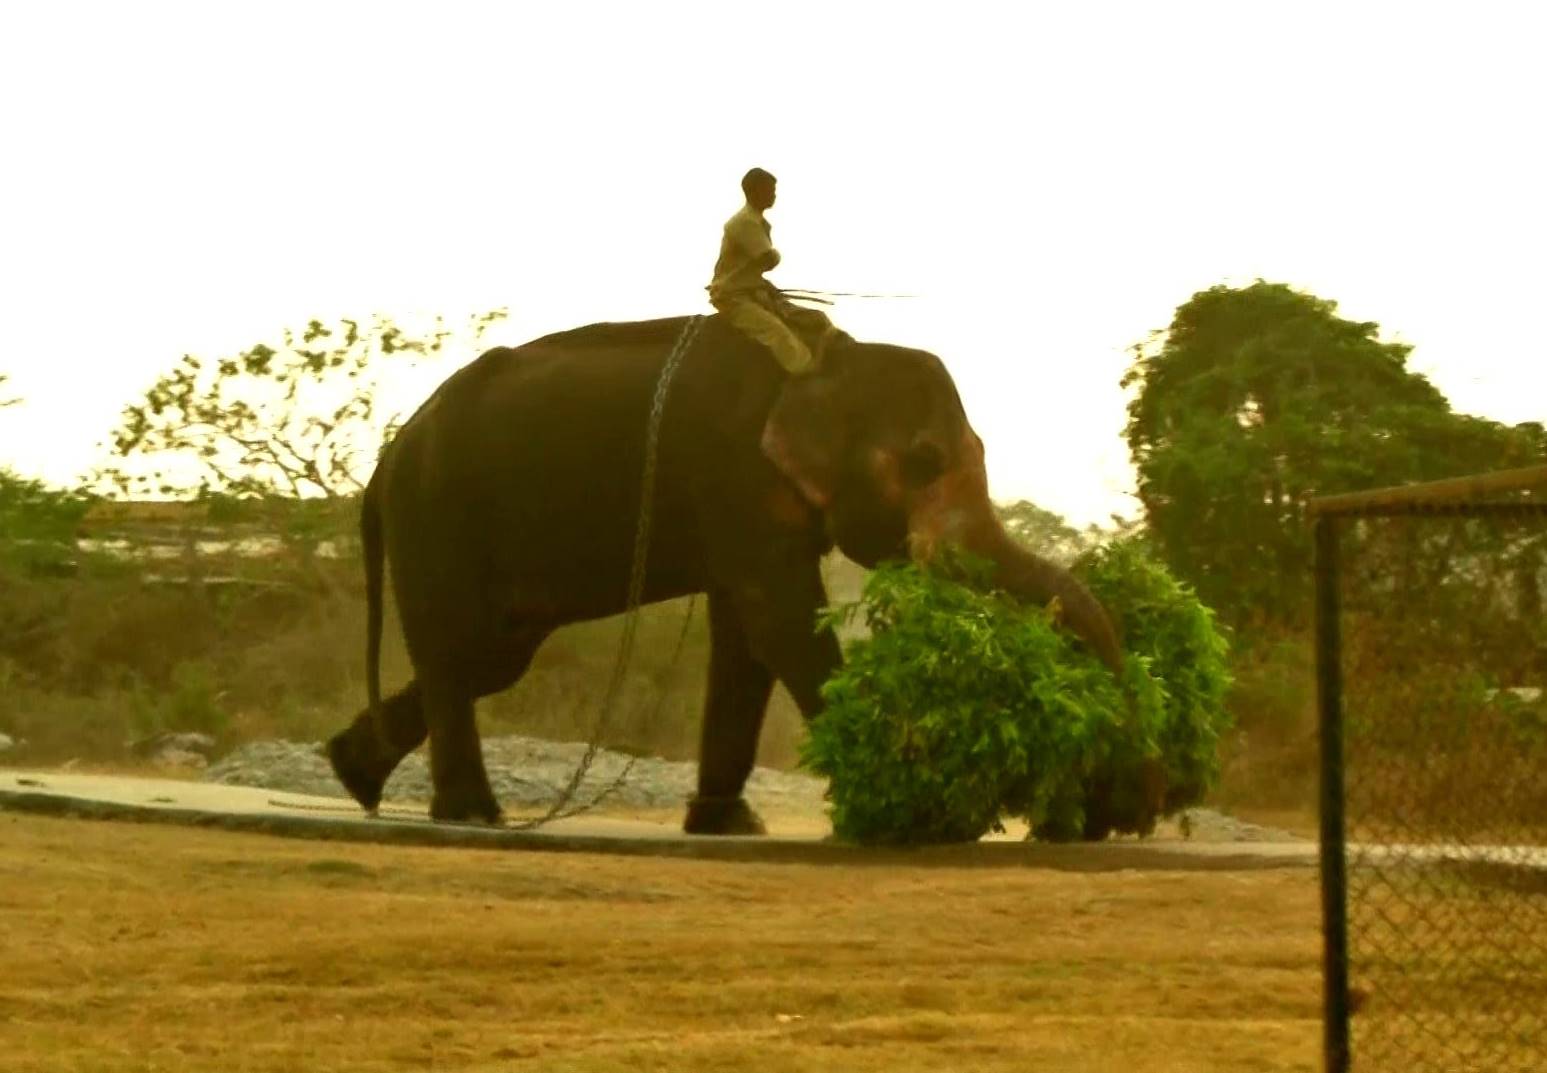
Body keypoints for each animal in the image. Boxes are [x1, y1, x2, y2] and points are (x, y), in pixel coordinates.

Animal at [326, 314, 1123, 833]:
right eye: (925, 461)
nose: (1107, 810)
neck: (827, 359)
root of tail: (386, 460)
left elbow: (747, 640)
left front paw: (730, 824)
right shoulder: (734, 470)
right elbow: (782, 622)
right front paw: (909, 814)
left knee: (490, 657)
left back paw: (352, 773)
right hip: (436, 513)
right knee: (458, 649)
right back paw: (470, 814)